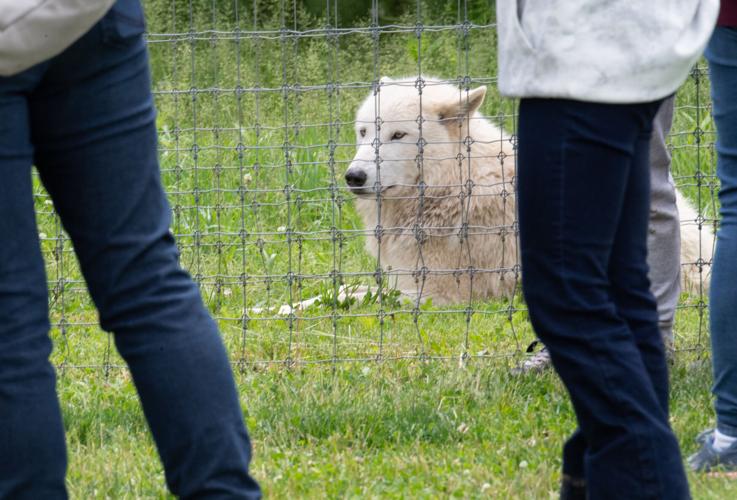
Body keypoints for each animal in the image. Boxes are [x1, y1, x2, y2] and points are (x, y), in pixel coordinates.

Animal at [345, 76, 713, 305]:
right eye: (364, 132)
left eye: (398, 136)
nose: (353, 176)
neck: (450, 186)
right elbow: (350, 288)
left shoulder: (436, 296)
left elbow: (360, 298)